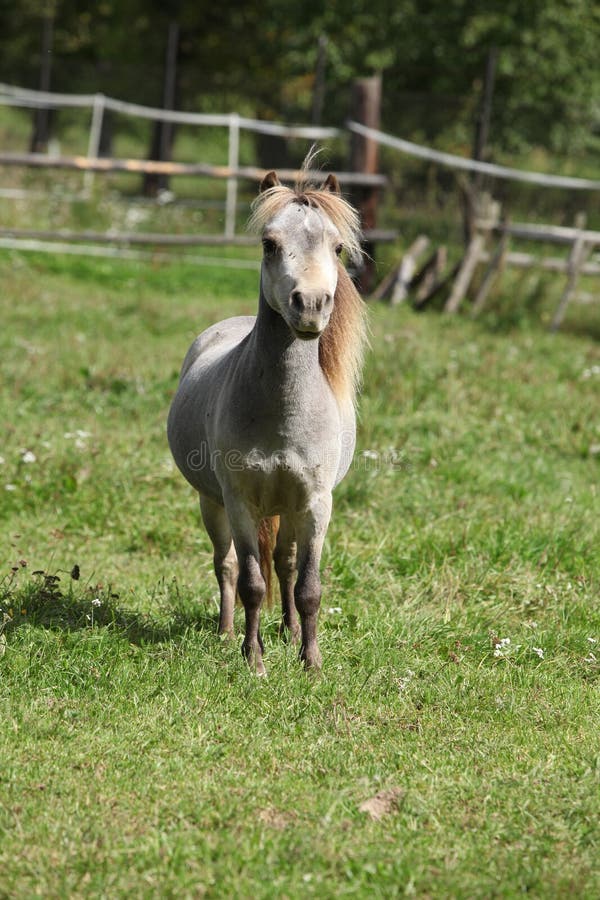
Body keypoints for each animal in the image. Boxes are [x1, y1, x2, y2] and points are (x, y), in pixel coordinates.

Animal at [167, 160, 367, 674]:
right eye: (269, 244)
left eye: (338, 247)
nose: (311, 305)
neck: (282, 414)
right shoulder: (239, 502)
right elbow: (251, 583)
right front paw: (253, 659)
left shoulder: (315, 505)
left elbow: (308, 587)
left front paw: (310, 661)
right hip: (213, 504)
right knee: (227, 567)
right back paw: (225, 632)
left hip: (289, 511)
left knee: (286, 565)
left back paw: (289, 630)